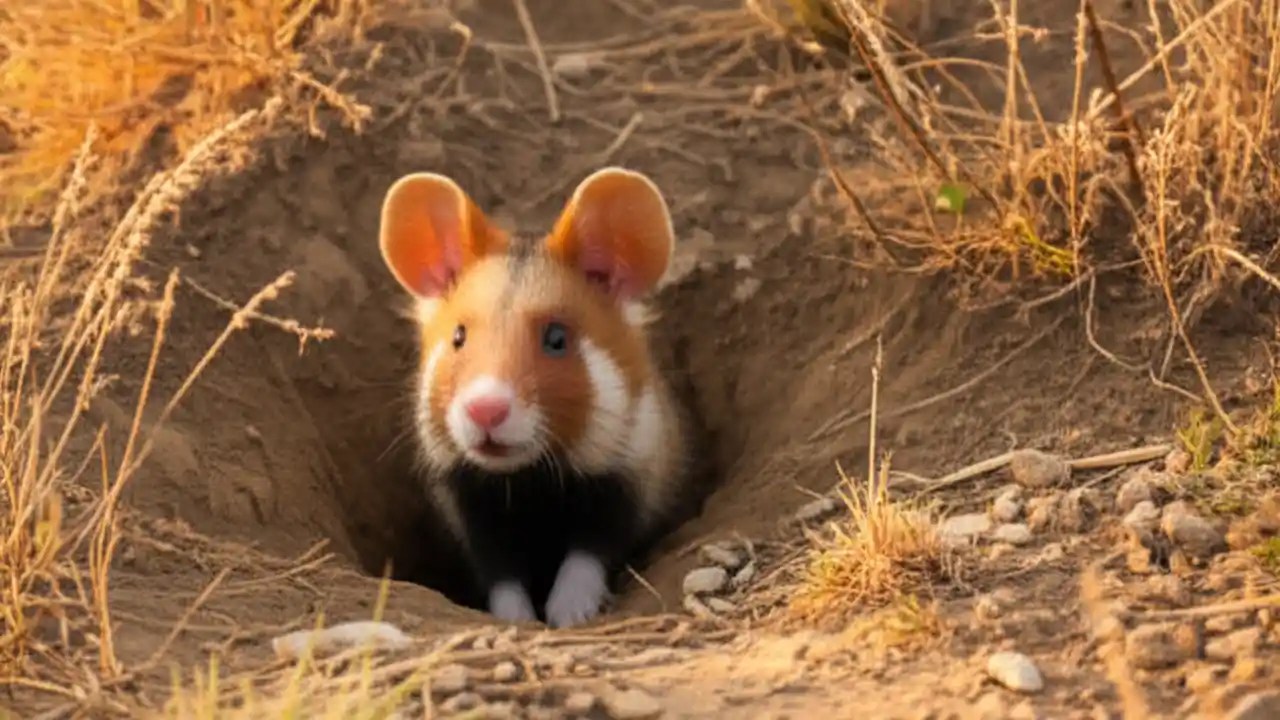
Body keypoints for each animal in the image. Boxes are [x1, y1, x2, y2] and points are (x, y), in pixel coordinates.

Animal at [378, 166, 691, 628]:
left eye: (557, 338)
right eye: (458, 336)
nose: (485, 409)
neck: (529, 482)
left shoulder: (627, 484)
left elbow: (588, 553)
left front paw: (569, 614)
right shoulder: (471, 510)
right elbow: (501, 576)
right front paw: (522, 620)